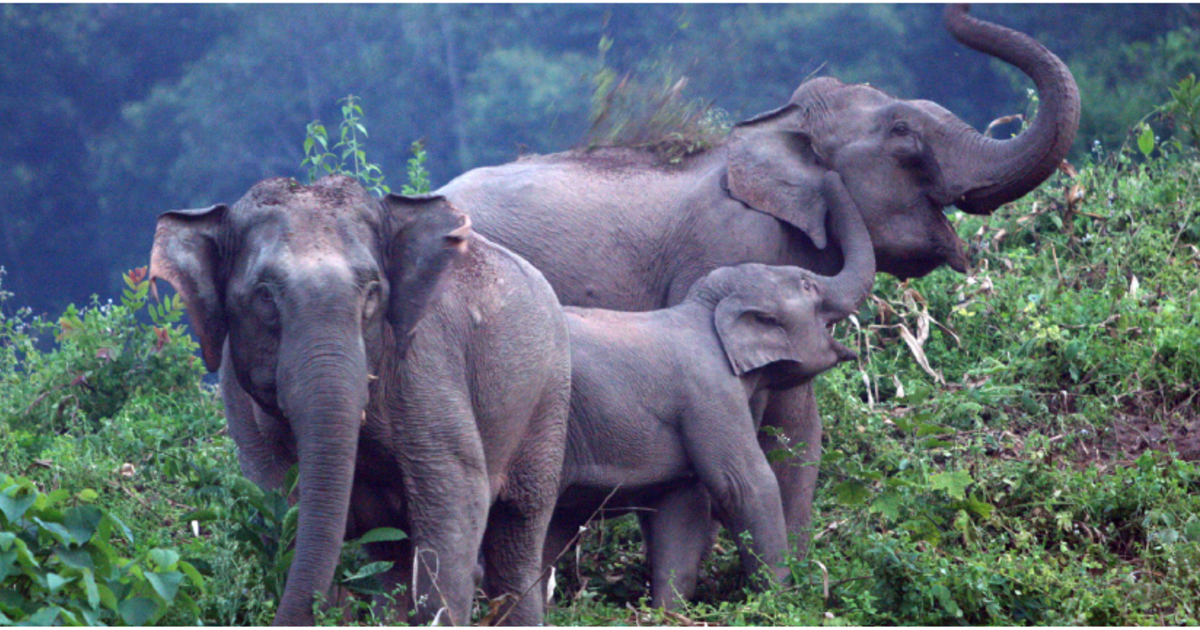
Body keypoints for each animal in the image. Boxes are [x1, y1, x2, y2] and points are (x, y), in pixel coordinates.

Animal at [148, 175, 571, 626]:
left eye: (372, 293)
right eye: (263, 296)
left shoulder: (425, 366)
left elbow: (458, 492)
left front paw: (438, 611)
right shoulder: (237, 398)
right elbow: (275, 497)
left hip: (547, 402)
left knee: (517, 534)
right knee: (390, 550)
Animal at [546, 172, 873, 608]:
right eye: (807, 285)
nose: (829, 176)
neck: (702, 309)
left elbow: (681, 507)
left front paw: (668, 612)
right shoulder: (711, 394)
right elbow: (746, 484)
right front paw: (780, 602)